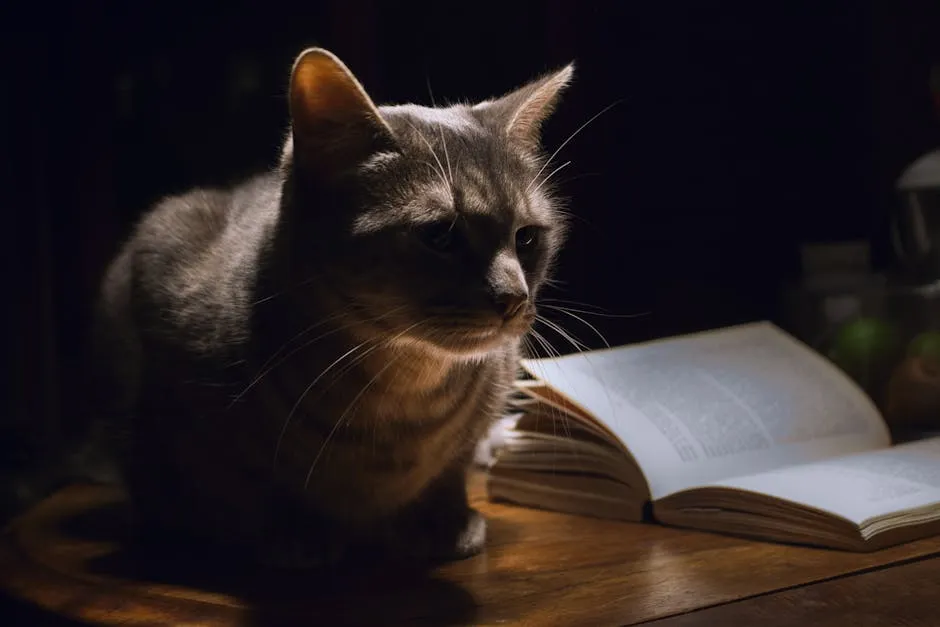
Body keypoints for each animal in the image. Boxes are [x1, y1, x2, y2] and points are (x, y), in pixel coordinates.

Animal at [90, 47, 572, 568]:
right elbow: (245, 482)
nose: (514, 298)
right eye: (439, 235)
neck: (404, 389)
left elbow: (450, 469)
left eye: (526, 239)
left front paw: (443, 521)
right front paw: (292, 532)